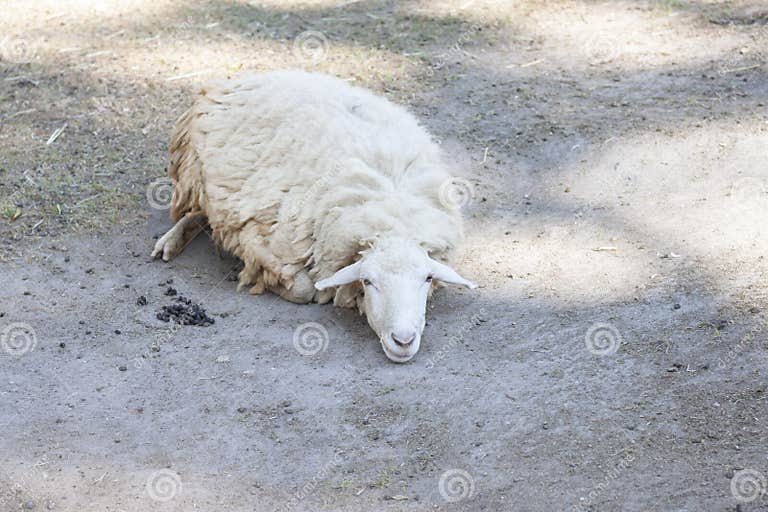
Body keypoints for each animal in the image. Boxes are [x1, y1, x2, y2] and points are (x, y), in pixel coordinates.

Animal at [151, 70, 476, 362]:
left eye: (427, 278)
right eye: (368, 281)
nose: (403, 341)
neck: (390, 214)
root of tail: (242, 78)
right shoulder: (262, 235)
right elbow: (303, 287)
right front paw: (277, 284)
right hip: (195, 169)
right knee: (198, 211)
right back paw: (171, 241)